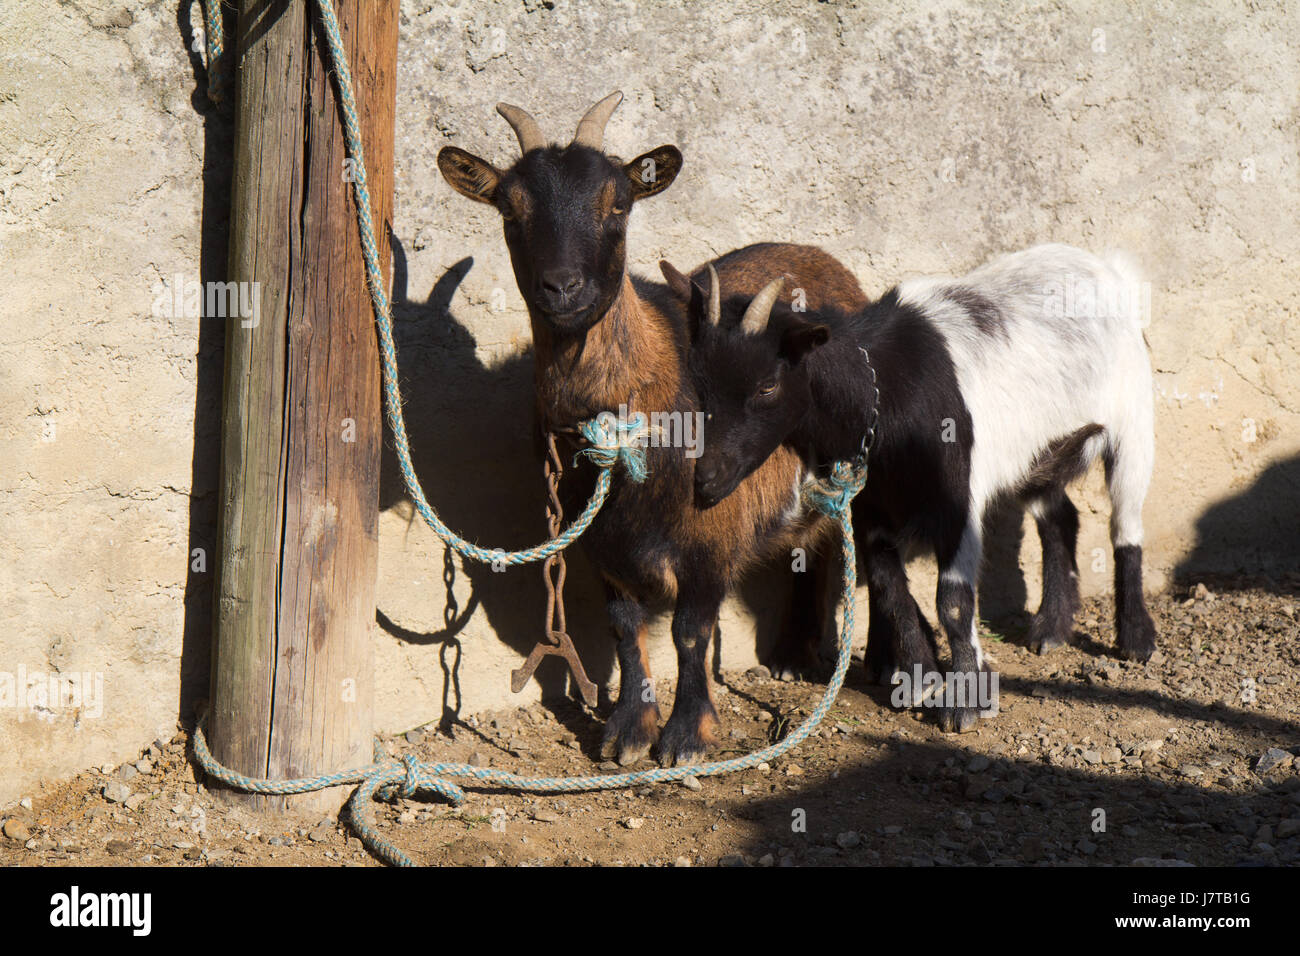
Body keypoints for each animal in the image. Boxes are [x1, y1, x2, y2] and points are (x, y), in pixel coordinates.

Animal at [437, 93, 868, 764]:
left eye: (618, 203)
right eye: (509, 209)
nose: (562, 287)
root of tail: (815, 255)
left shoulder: (712, 531)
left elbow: (692, 632)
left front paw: (687, 735)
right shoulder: (597, 537)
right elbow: (623, 625)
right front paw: (628, 731)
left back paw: (802, 655)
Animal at [674, 244, 1158, 732]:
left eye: (767, 385)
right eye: (699, 383)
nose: (706, 480)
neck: (881, 388)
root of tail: (1106, 267)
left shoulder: (958, 500)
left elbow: (954, 602)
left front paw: (964, 702)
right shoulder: (869, 505)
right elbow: (889, 588)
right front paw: (920, 680)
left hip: (1133, 420)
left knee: (1126, 524)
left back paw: (1136, 638)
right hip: (1041, 451)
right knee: (1058, 516)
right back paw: (1050, 629)